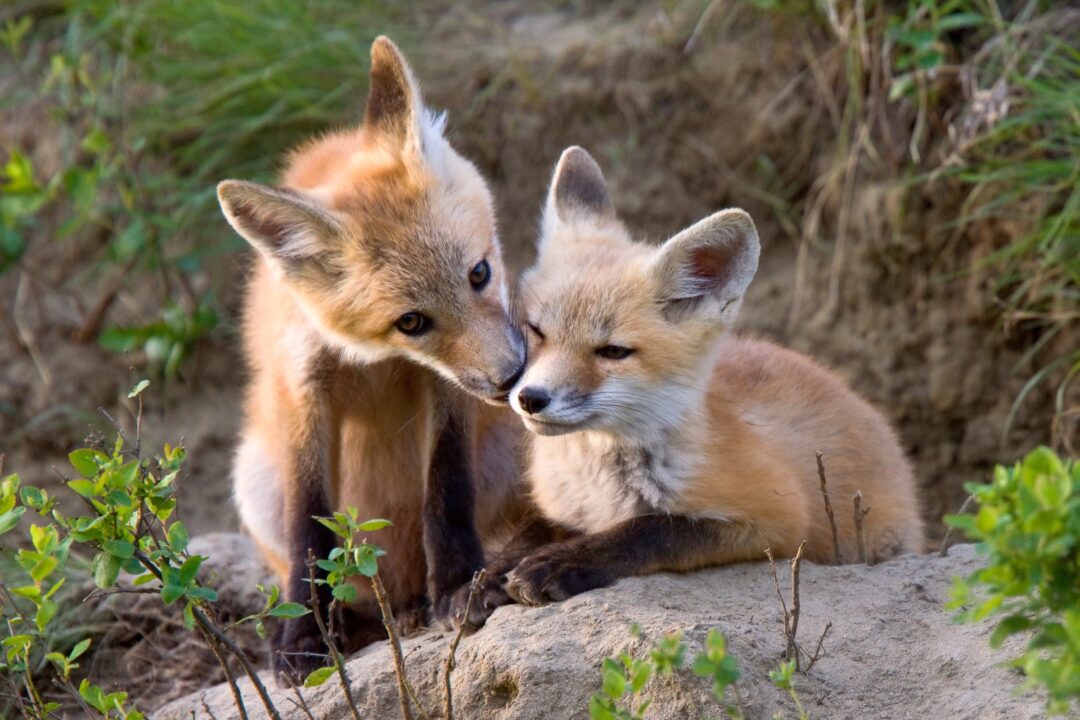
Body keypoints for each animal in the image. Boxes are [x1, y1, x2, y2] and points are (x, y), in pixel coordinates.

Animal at [216, 37, 527, 677]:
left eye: (480, 273)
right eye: (411, 322)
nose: (511, 376)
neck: (378, 359)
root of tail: (400, 589)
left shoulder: (447, 390)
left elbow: (446, 488)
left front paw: (459, 587)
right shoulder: (304, 389)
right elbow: (310, 527)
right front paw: (304, 635)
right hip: (253, 480)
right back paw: (358, 619)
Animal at [478, 146, 924, 609]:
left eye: (613, 352)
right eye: (536, 331)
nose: (531, 398)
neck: (604, 480)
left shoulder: (778, 517)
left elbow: (653, 529)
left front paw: (562, 563)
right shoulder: (562, 505)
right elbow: (534, 527)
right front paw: (486, 579)